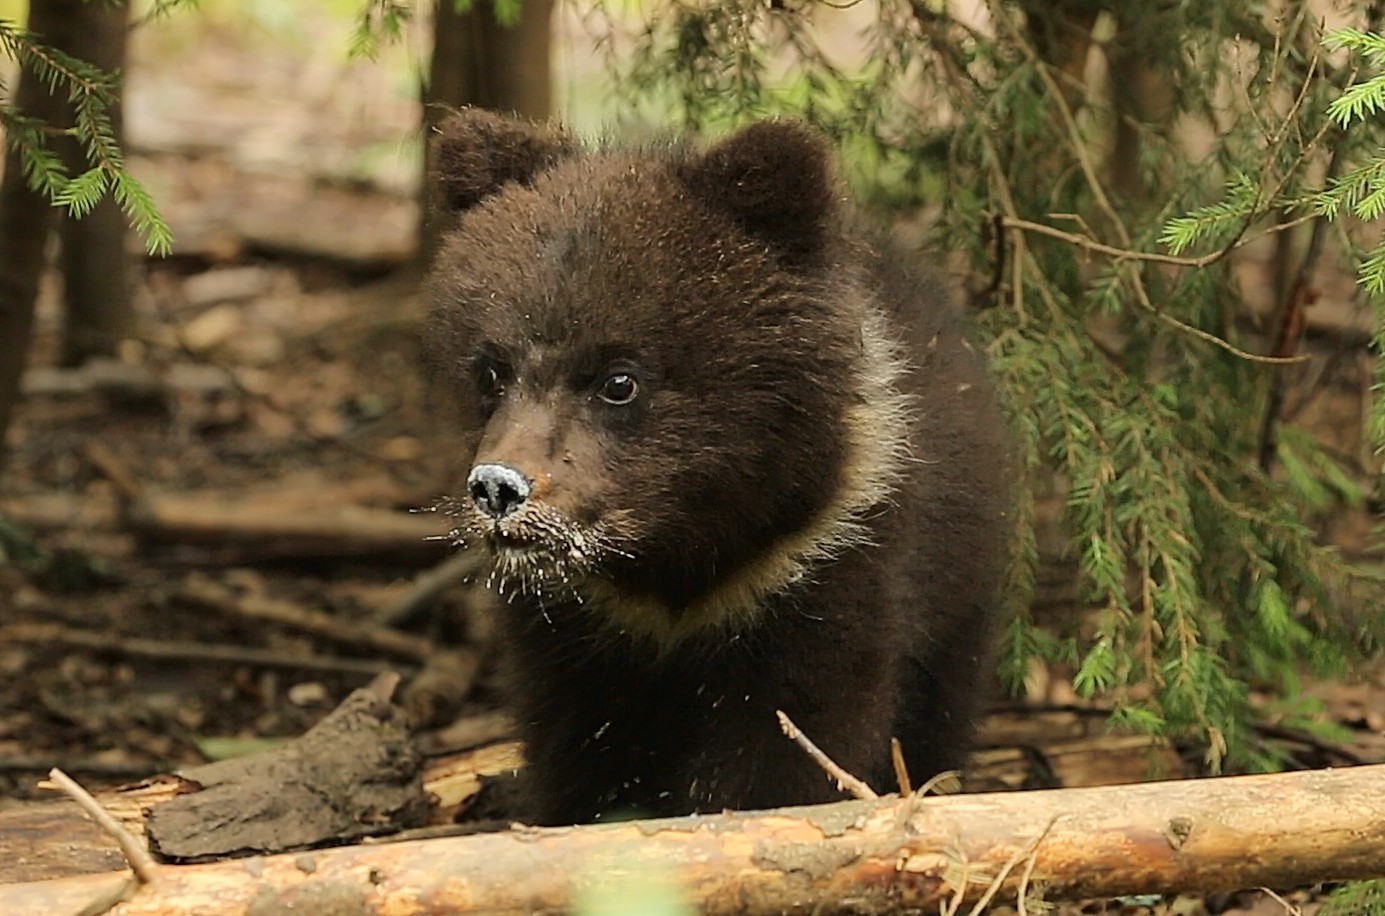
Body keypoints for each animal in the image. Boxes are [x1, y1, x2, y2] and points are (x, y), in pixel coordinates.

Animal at [425, 109, 1012, 827]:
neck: (677, 564)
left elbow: (796, 732)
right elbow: (580, 749)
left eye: (619, 380)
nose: (498, 488)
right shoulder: (577, 629)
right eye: (490, 370)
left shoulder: (825, 566)